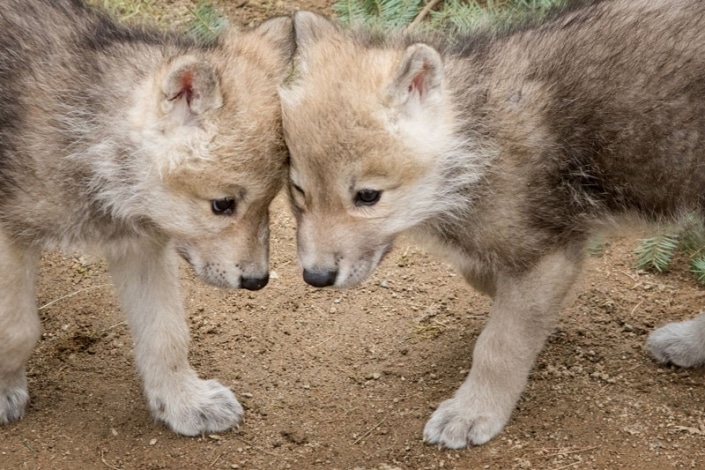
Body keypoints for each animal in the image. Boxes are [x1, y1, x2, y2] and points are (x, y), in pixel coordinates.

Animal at [0, 0, 293, 435]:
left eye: (270, 202)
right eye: (222, 204)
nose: (258, 281)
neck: (83, 137)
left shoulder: (141, 244)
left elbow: (167, 333)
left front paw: (184, 403)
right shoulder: (8, 238)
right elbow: (16, 329)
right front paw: (3, 391)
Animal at [280, 0, 705, 448]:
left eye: (367, 196)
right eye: (298, 190)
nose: (316, 277)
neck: (475, 138)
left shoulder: (543, 256)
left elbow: (499, 345)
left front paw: (473, 411)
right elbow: (481, 276)